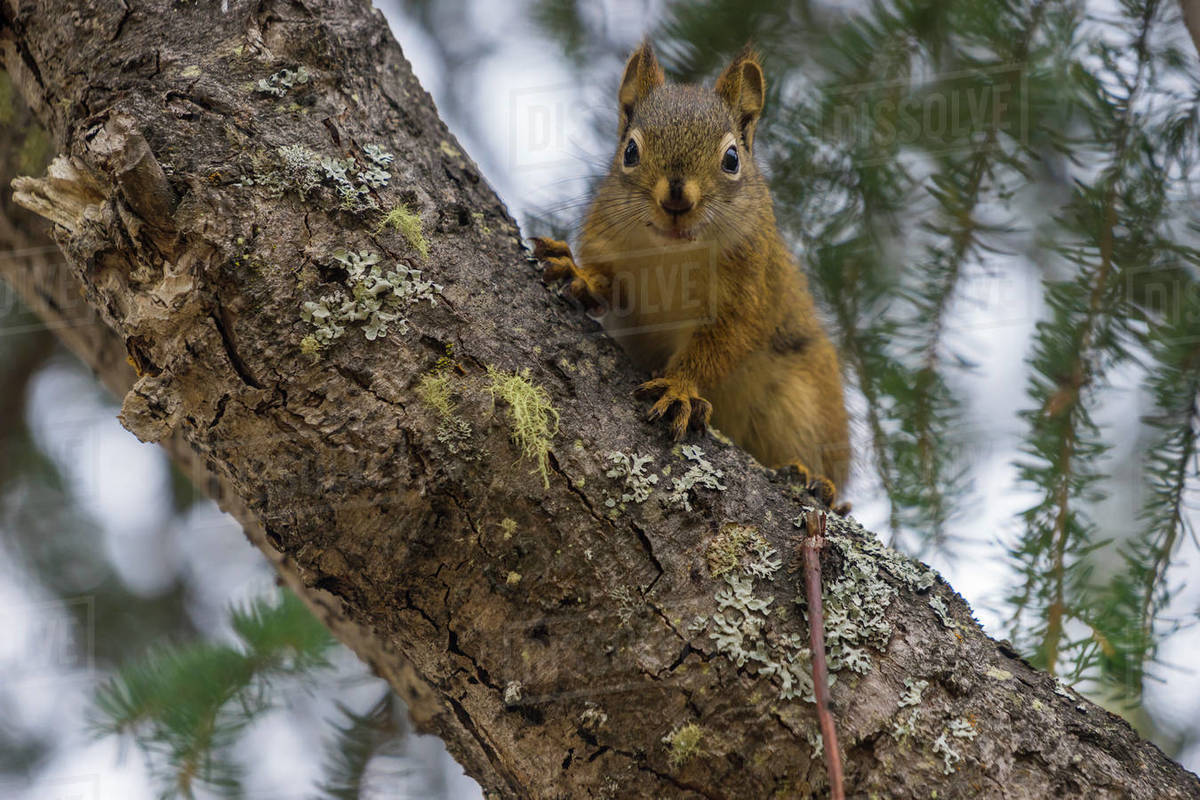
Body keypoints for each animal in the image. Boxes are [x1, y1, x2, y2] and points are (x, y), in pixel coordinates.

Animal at [532, 42, 851, 509]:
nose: (677, 199)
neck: (673, 254)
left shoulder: (747, 295)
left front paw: (680, 388)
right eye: (630, 151)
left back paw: (814, 480)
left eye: (732, 159)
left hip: (804, 403)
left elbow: (719, 346)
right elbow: (608, 284)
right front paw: (580, 273)